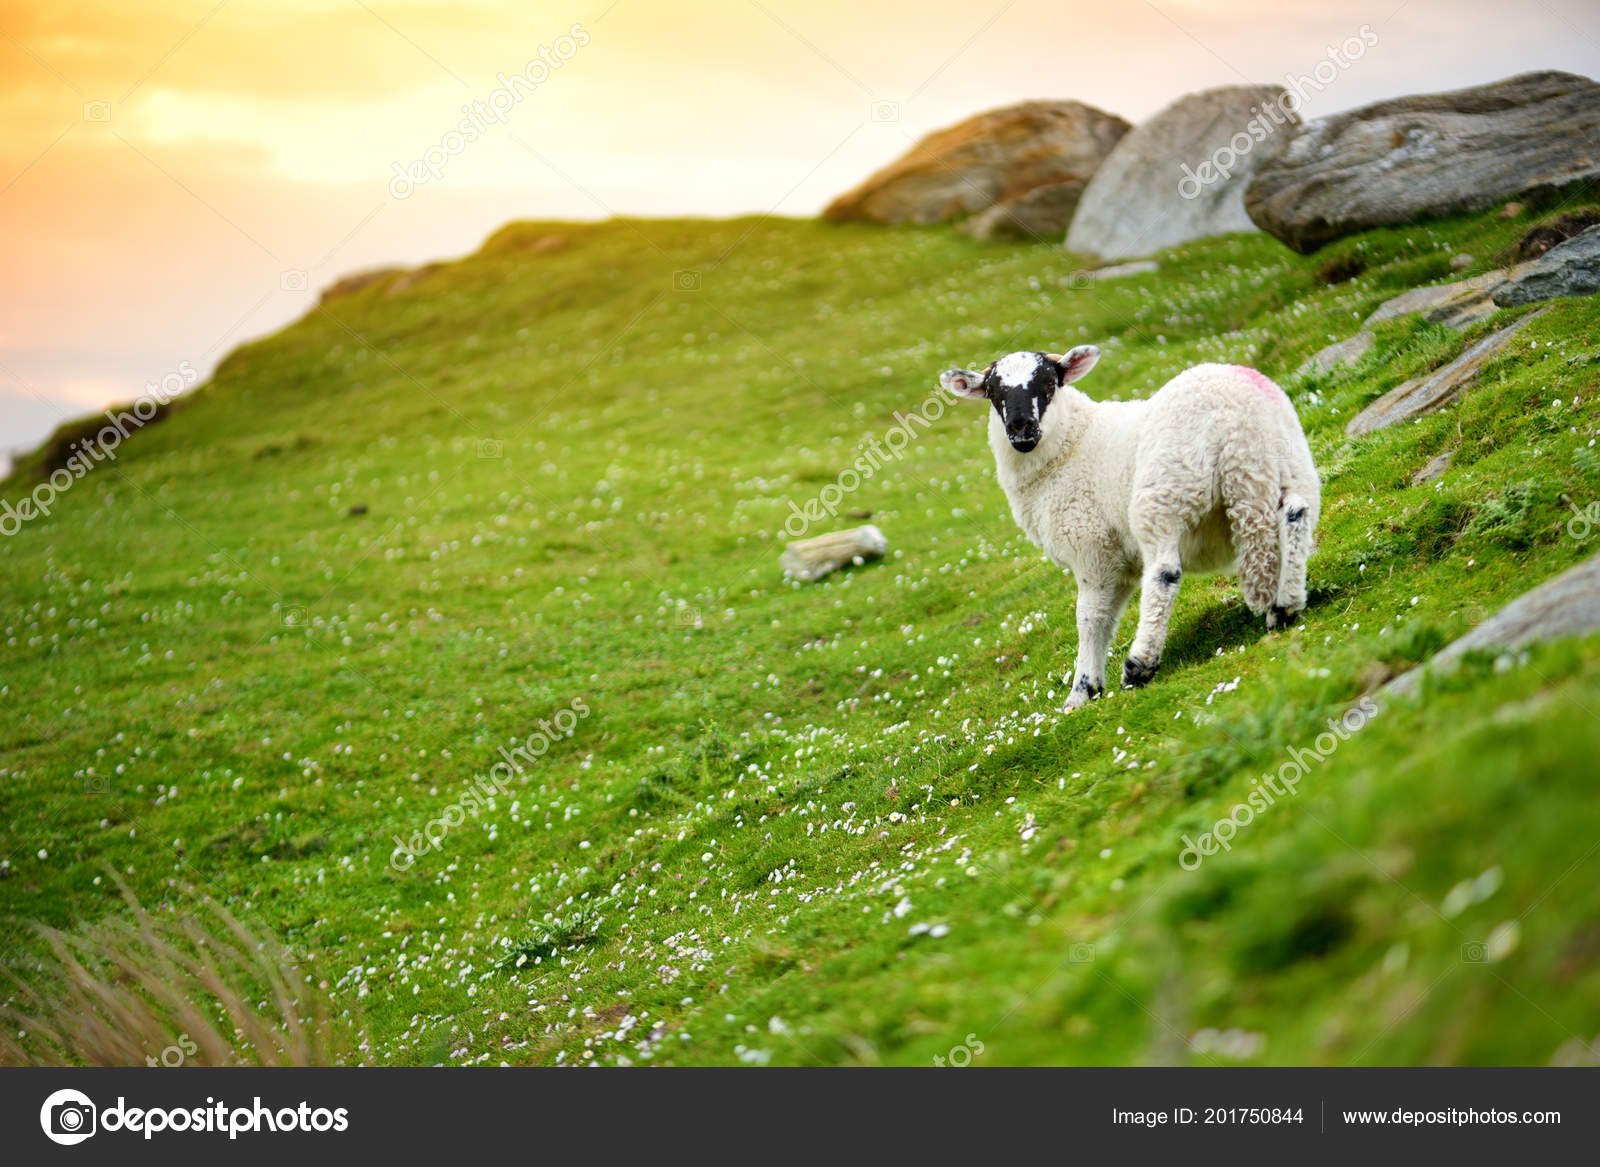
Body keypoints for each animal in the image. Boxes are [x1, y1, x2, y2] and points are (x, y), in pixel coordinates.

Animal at [939, 346, 1319, 711]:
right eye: (994, 392)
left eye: (1049, 383)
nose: (1021, 428)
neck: (1070, 444)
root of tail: (1239, 416)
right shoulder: (1118, 561)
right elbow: (1107, 618)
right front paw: (1092, 685)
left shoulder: (1091, 548)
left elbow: (1089, 617)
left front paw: (1081, 691)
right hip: (1290, 465)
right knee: (1296, 516)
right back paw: (1285, 606)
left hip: (1165, 493)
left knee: (1165, 572)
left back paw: (1140, 665)